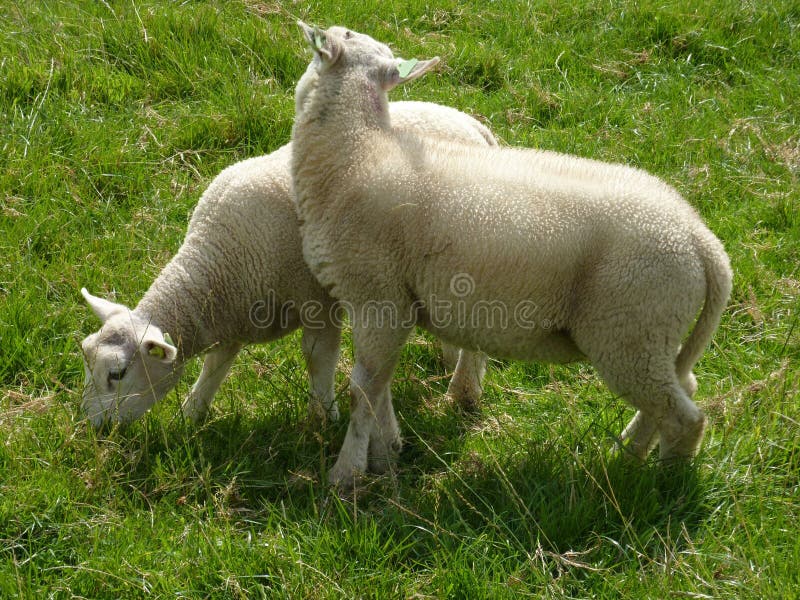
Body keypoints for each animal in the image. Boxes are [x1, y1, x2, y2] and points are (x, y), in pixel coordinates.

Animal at [79, 100, 495, 429]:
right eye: (85, 355)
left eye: (117, 374)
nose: (94, 429)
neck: (218, 260)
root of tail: (474, 126)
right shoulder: (234, 311)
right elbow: (216, 364)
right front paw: (192, 413)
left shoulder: (319, 302)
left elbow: (316, 358)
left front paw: (323, 417)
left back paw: (464, 392)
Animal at [290, 24, 733, 488]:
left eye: (339, 37)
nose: (320, 28)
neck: (355, 151)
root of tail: (701, 240)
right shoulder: (390, 304)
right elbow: (379, 388)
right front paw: (386, 455)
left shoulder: (378, 295)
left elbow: (363, 390)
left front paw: (346, 475)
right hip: (655, 333)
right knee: (679, 392)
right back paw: (627, 458)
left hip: (630, 330)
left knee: (684, 417)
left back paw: (662, 485)